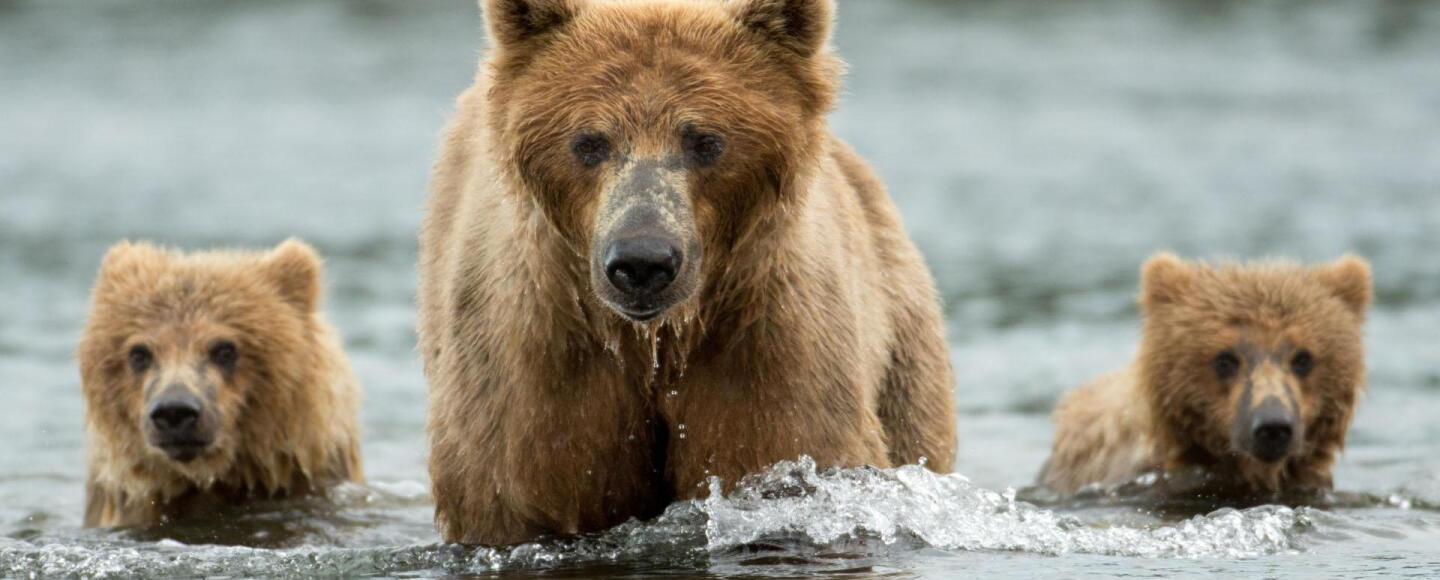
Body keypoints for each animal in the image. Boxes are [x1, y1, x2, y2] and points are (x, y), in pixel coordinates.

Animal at [418, 0, 957, 545]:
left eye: (705, 141)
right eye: (589, 141)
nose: (643, 261)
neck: (656, 339)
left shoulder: (764, 343)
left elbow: (786, 452)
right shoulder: (538, 368)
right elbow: (521, 488)